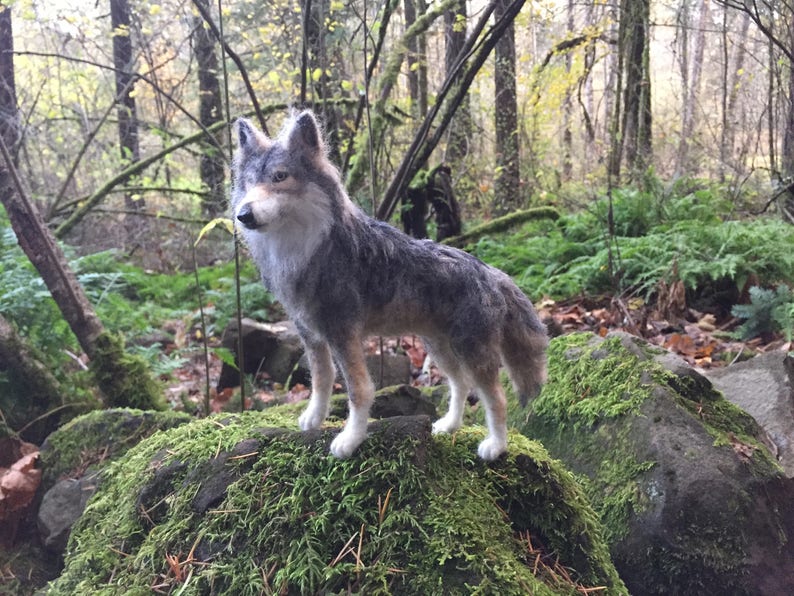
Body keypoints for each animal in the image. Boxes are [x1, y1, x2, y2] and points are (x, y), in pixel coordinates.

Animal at [231, 110, 548, 461]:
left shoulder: (343, 335)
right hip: (440, 349)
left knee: (496, 398)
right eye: (248, 184)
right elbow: (321, 382)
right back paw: (449, 426)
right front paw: (314, 419)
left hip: (471, 352)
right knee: (460, 385)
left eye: (279, 177)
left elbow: (359, 391)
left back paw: (496, 446)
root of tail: (493, 273)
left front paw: (351, 439)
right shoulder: (311, 336)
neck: (305, 246)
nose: (243, 214)